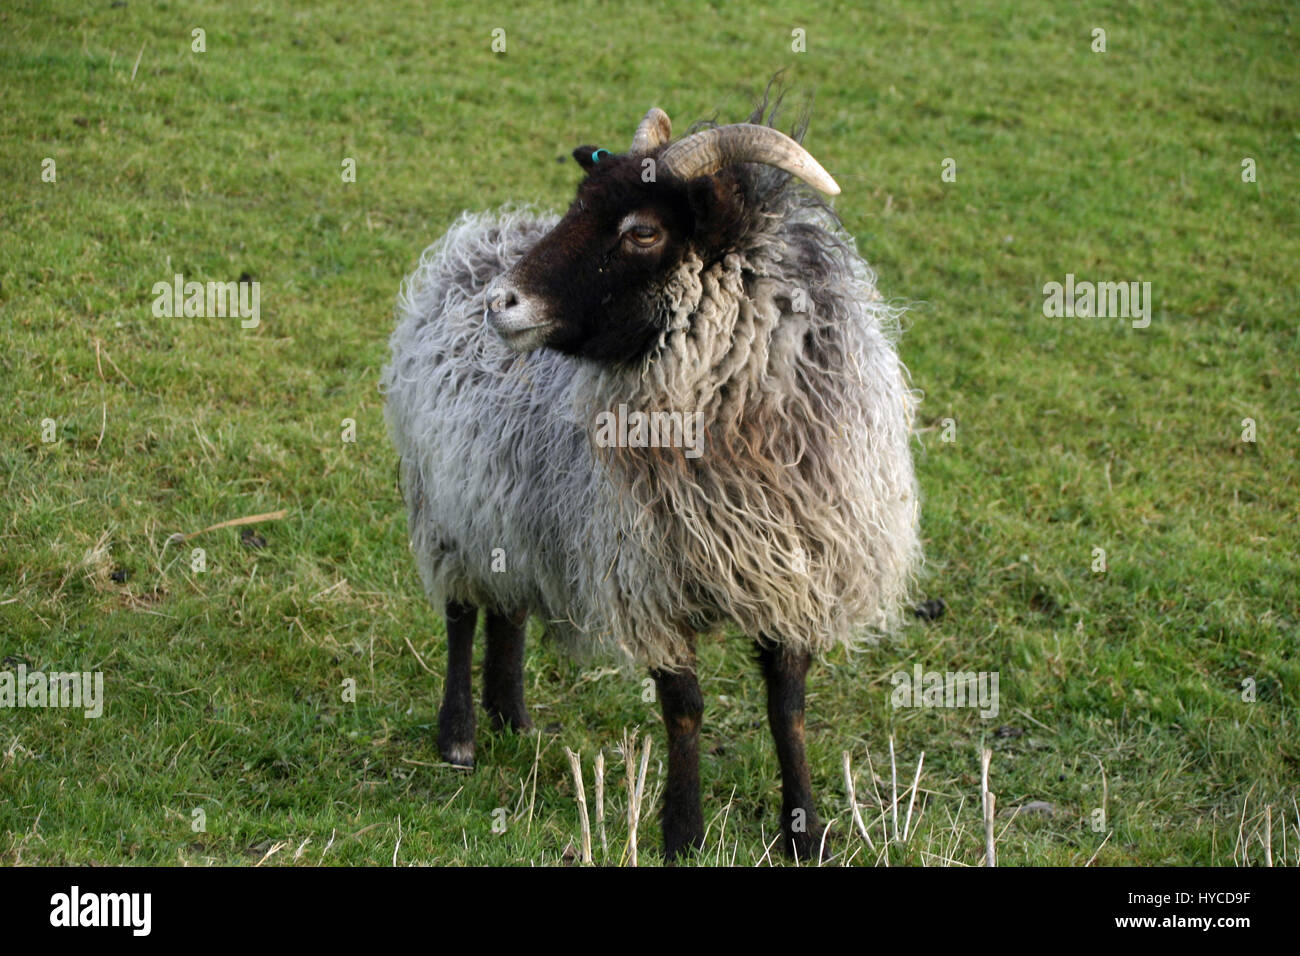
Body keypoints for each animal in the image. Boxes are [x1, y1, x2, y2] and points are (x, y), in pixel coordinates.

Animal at [382, 97, 921, 861]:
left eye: (642, 230)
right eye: (578, 203)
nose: (500, 302)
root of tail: (479, 232)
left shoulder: (795, 578)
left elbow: (788, 708)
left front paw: (805, 832)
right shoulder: (652, 578)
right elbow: (684, 708)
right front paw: (683, 833)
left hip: (507, 504)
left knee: (507, 608)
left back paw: (512, 716)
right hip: (445, 503)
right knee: (461, 612)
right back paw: (459, 737)